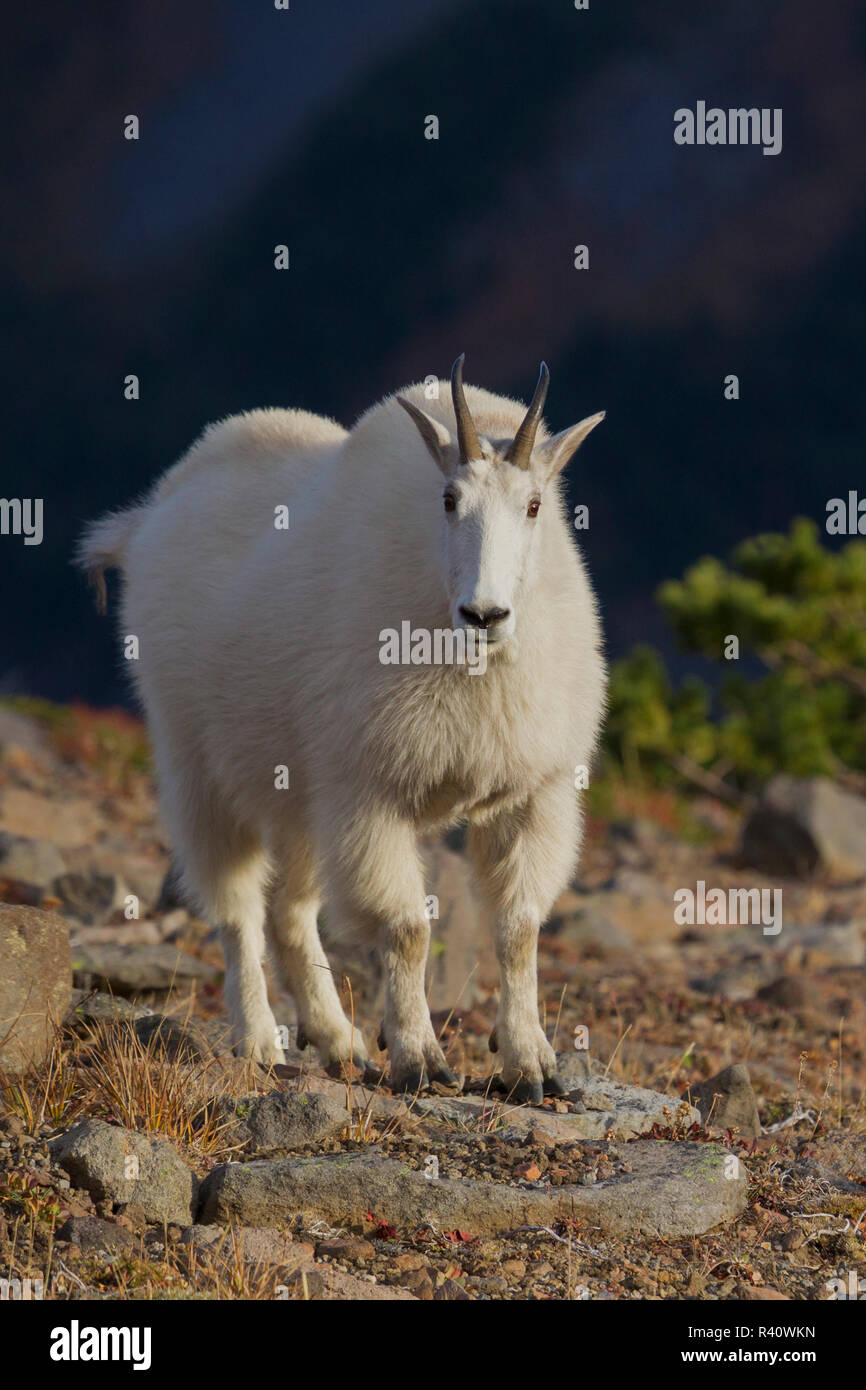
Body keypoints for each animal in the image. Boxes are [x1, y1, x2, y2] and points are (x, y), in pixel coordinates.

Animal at [79, 358, 606, 1102]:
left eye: (535, 505)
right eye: (448, 499)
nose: (485, 615)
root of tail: (151, 514)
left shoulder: (534, 793)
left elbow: (519, 928)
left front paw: (530, 1066)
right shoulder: (369, 793)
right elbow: (407, 929)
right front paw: (419, 1060)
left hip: (296, 792)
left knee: (291, 910)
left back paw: (336, 1038)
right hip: (197, 762)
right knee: (237, 908)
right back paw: (258, 1039)